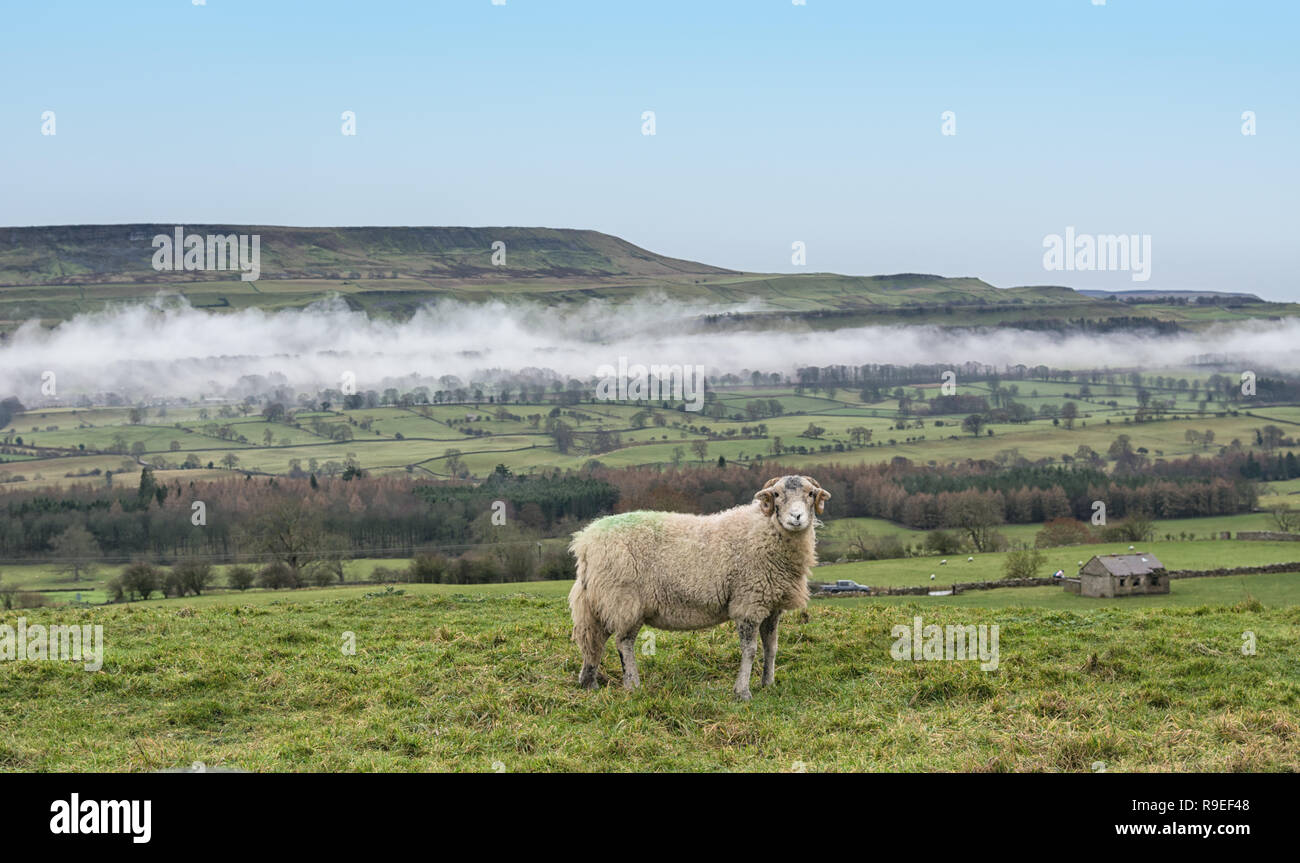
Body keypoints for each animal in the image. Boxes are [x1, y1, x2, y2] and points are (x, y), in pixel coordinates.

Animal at [567, 475, 829, 701]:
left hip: (599, 600)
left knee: (594, 640)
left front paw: (768, 684)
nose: (796, 517)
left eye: (810, 493)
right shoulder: (748, 602)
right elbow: (750, 650)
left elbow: (771, 648)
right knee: (624, 642)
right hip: (624, 598)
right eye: (776, 494)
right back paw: (633, 685)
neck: (766, 530)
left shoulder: (771, 605)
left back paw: (589, 682)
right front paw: (742, 692)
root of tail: (585, 542)